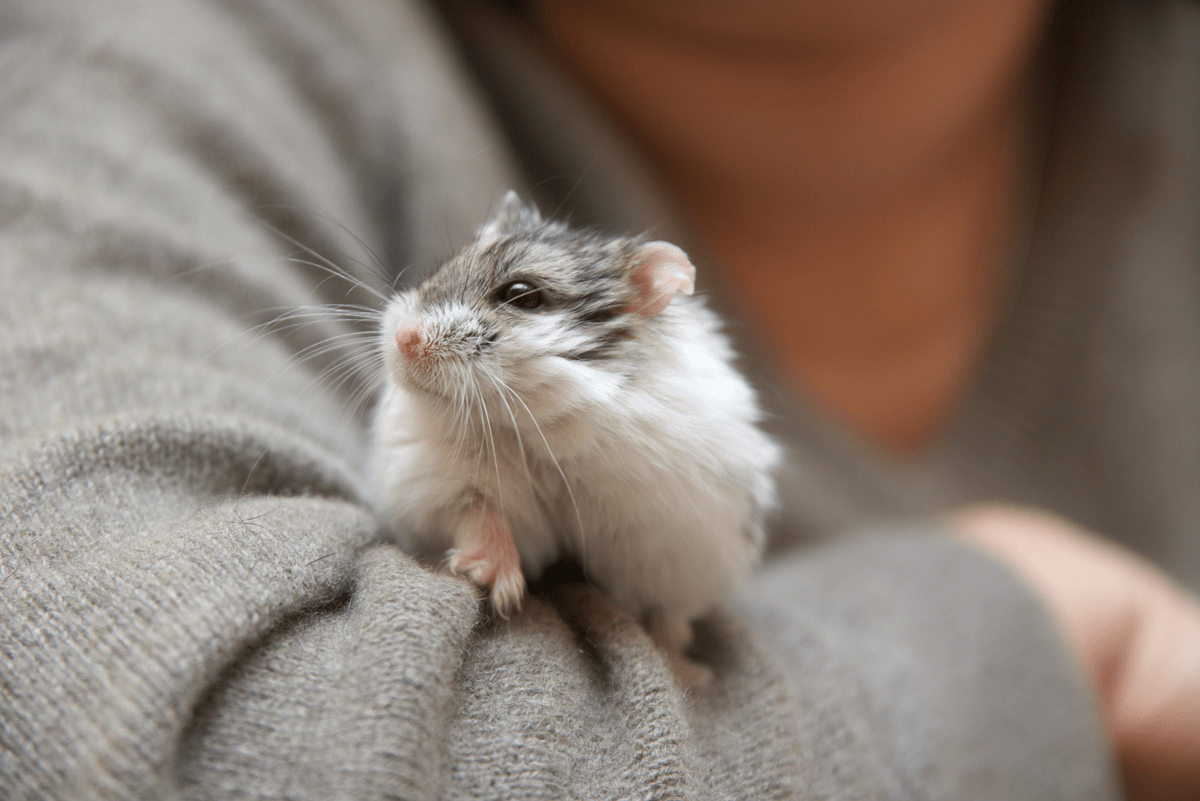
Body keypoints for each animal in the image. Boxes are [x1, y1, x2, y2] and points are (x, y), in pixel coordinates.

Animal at [370, 191, 780, 656]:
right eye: (444, 265)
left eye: (523, 294)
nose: (403, 339)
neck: (537, 423)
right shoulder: (435, 483)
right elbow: (480, 513)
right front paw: (500, 586)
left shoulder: (680, 549)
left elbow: (667, 615)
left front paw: (675, 660)